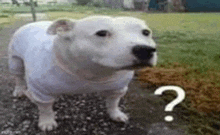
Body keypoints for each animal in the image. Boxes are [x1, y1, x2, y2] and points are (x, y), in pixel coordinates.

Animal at [8, 15, 156, 131]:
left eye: (146, 32)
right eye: (102, 33)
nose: (145, 49)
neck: (92, 72)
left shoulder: (118, 88)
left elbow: (113, 102)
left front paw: (115, 114)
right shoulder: (42, 93)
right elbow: (45, 108)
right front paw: (47, 121)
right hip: (15, 61)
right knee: (18, 76)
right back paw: (19, 90)